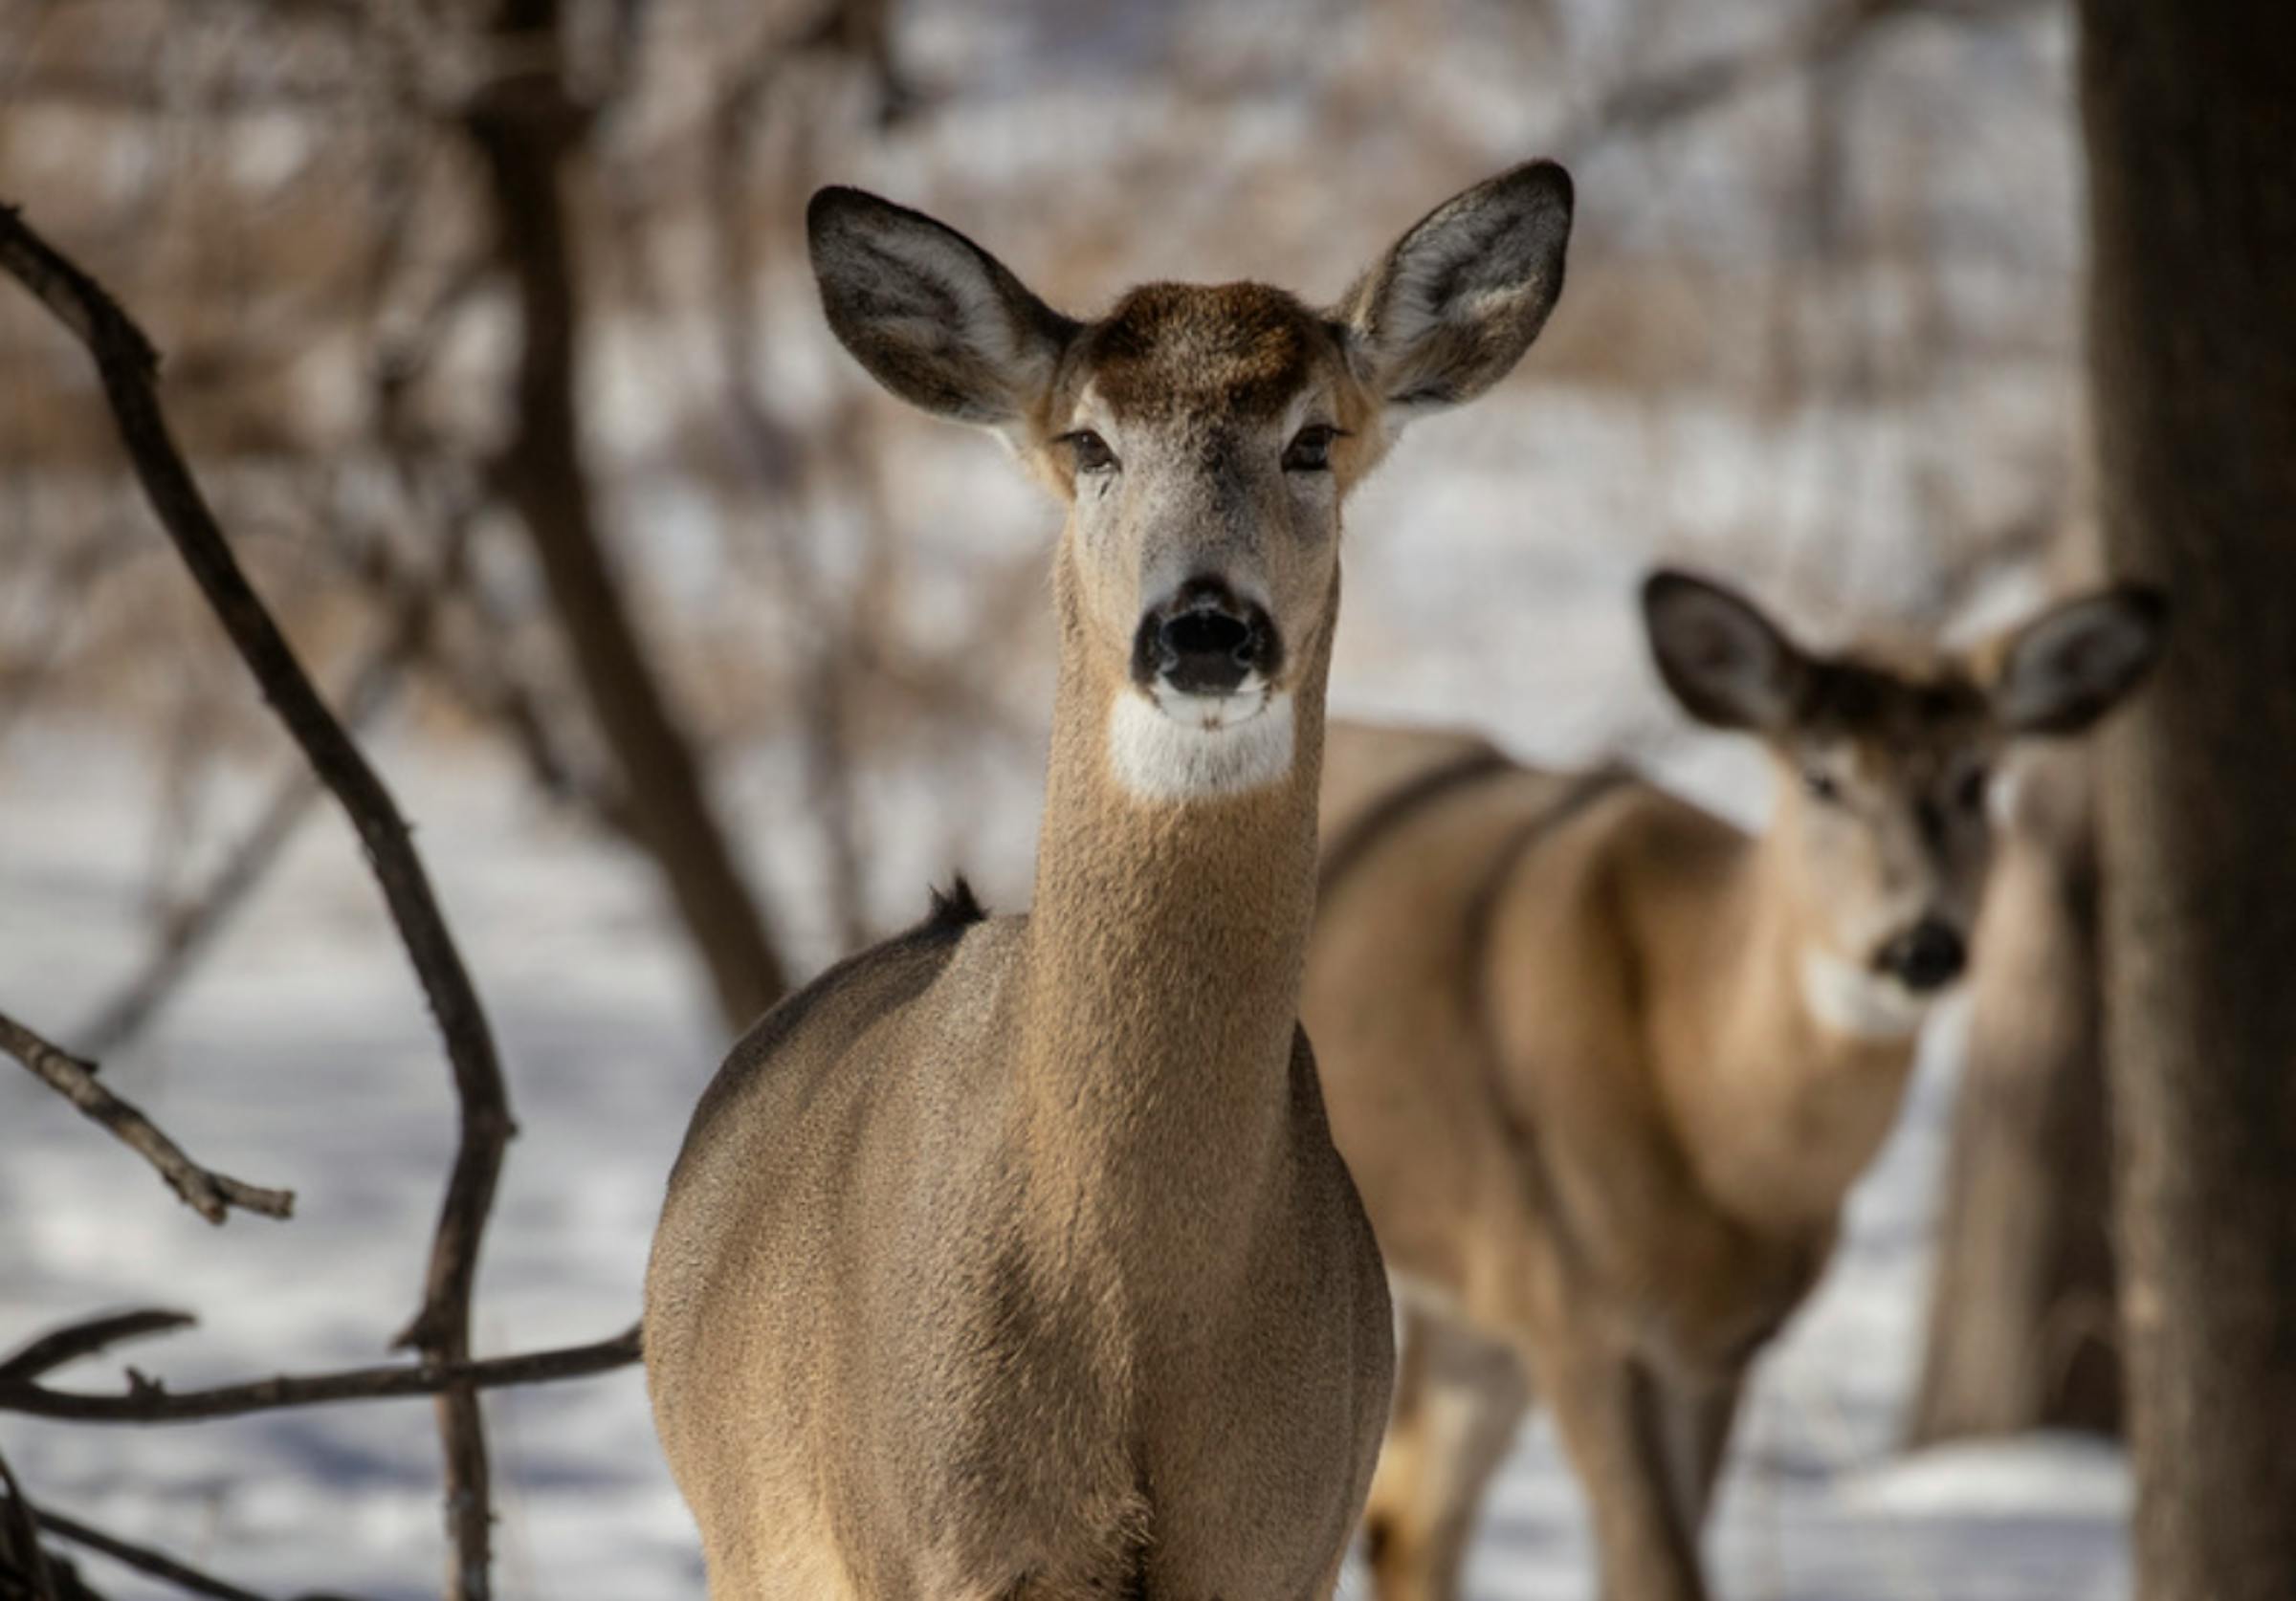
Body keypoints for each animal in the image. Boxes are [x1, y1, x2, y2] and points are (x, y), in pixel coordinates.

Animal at [642, 160, 1578, 1599]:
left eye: (1314, 438)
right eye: (1090, 442)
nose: (1204, 627)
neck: (1139, 1319)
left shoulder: (1287, 1542)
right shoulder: (935, 1542)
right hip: (752, 1537)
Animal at [1303, 568, 2166, 1601]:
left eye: (1975, 779)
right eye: (1823, 777)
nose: (1921, 945)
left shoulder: (1716, 1344)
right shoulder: (1580, 1305)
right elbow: (1657, 1570)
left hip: (1472, 1295)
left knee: (1412, 1513)